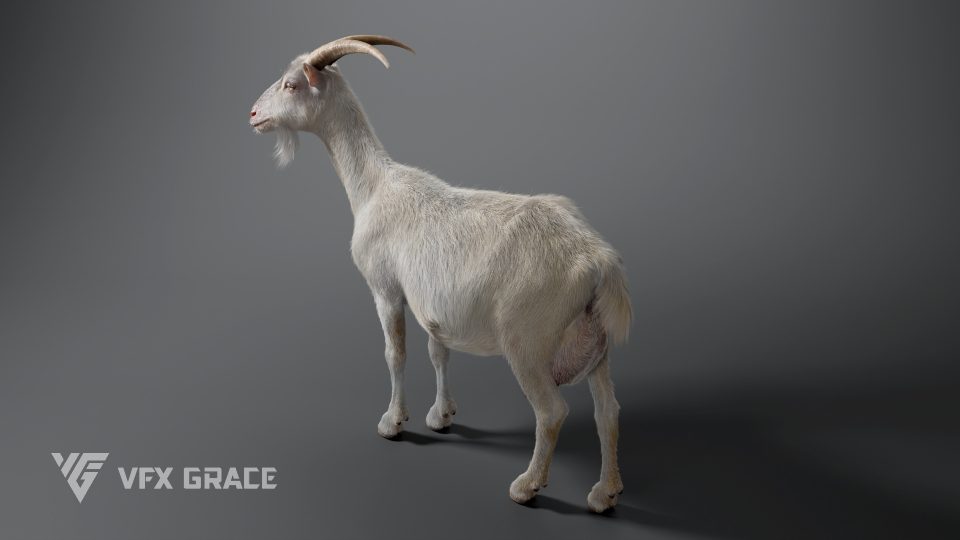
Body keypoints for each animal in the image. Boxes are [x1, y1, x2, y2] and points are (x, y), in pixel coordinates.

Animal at [249, 35, 632, 513]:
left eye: (291, 84)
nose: (253, 115)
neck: (374, 187)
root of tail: (598, 261)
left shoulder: (386, 289)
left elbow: (395, 354)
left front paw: (393, 421)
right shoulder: (431, 302)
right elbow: (438, 352)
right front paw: (442, 415)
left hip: (527, 339)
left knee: (552, 411)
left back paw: (527, 485)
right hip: (596, 343)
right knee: (608, 411)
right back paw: (605, 492)